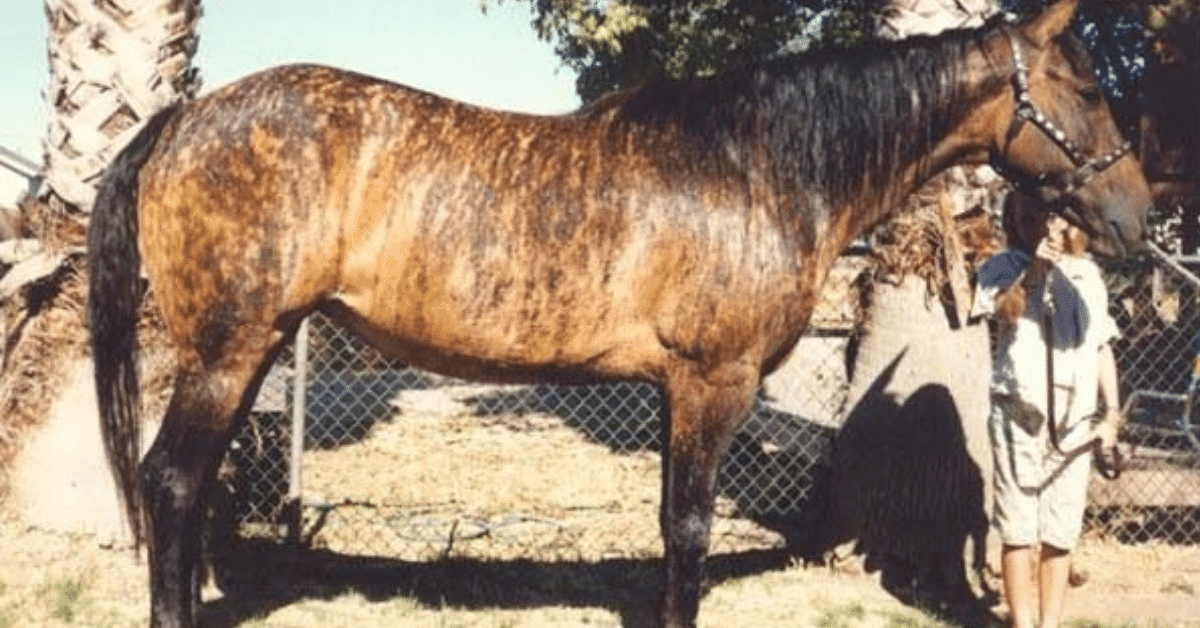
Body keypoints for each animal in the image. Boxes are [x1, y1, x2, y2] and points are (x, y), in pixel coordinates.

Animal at [87, 2, 1150, 626]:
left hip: (251, 349)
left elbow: (675, 523)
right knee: (171, 480)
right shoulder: (711, 382)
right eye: (1091, 86)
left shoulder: (683, 388)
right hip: (228, 351)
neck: (758, 167)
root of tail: (184, 118)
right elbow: (688, 528)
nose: (1134, 217)